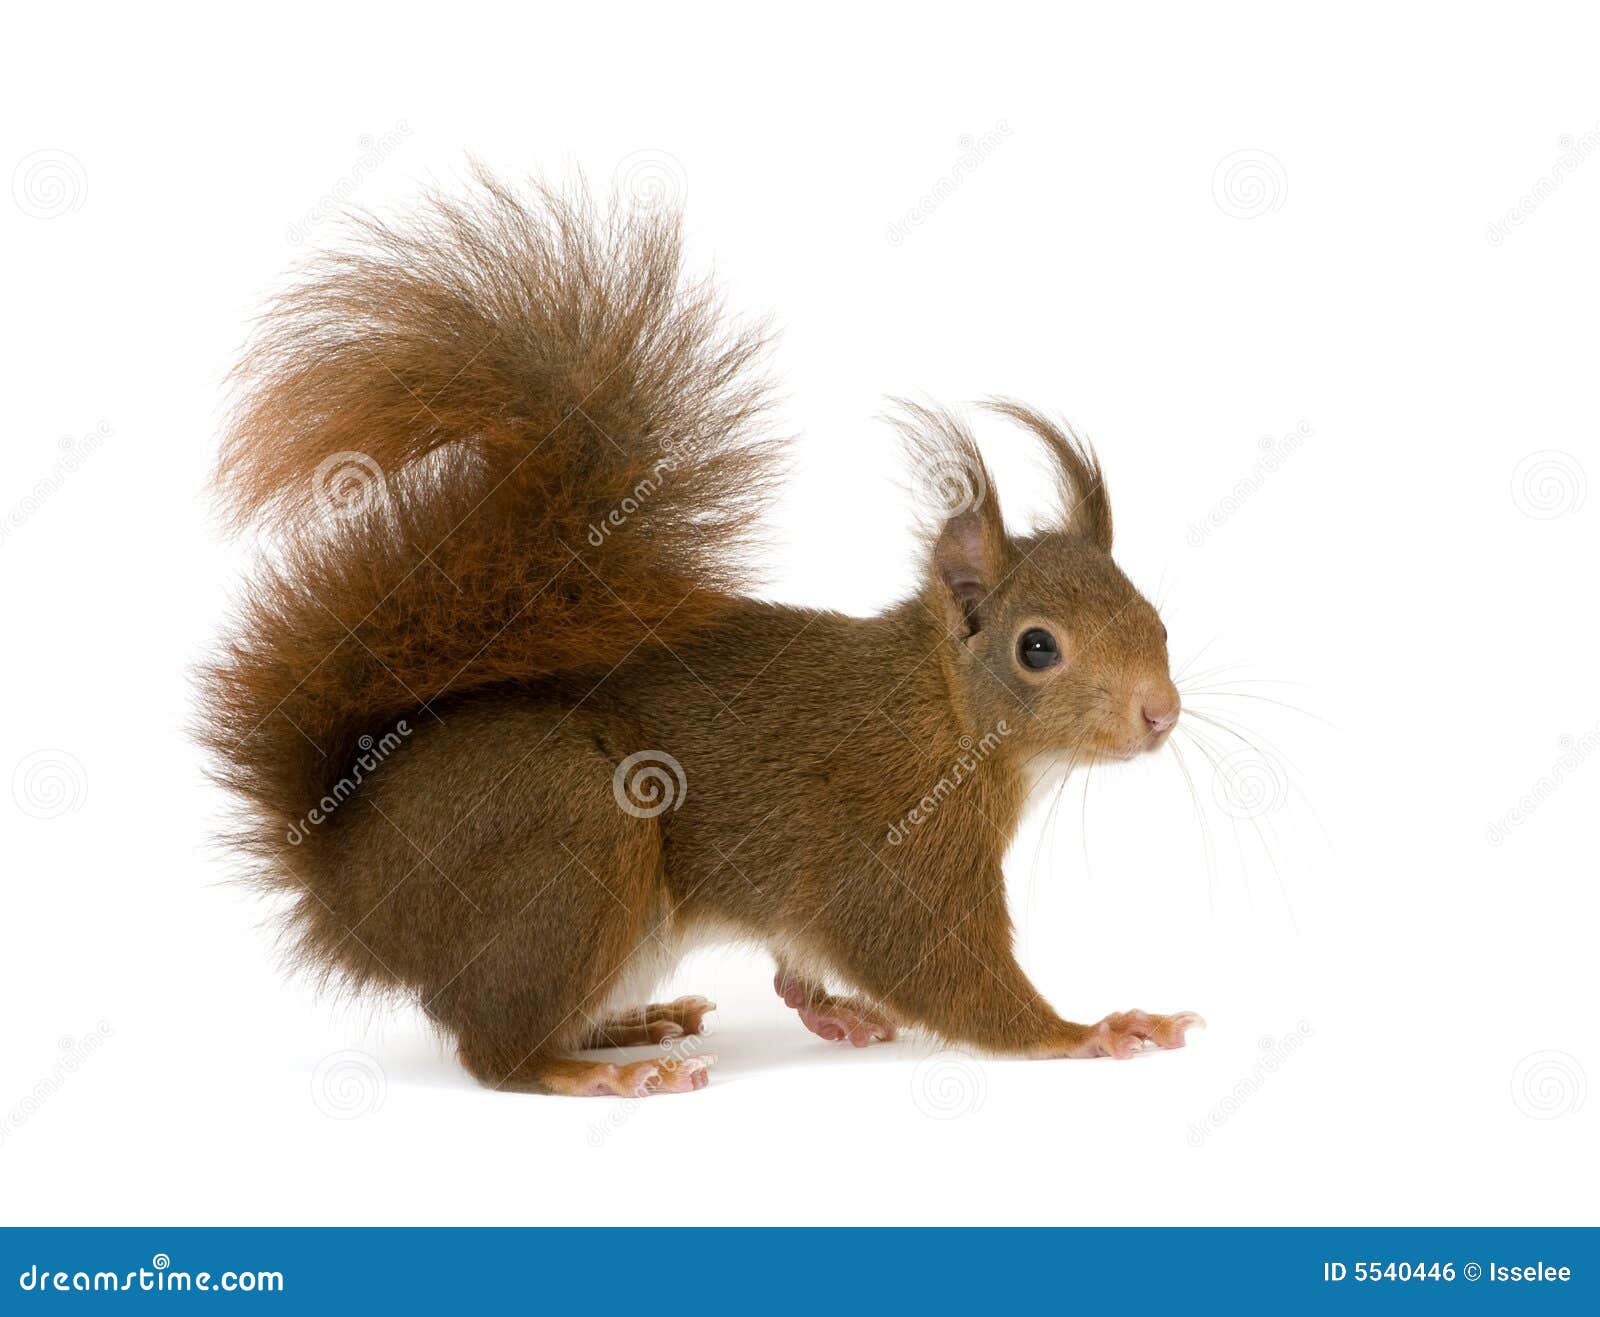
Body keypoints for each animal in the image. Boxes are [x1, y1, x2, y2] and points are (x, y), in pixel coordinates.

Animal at [199, 169, 1201, 1098]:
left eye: (1155, 619)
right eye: (1038, 647)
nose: (1162, 713)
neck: (948, 711)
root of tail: (348, 877)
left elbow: (808, 958)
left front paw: (825, 1006)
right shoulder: (902, 839)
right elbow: (936, 966)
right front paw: (1090, 1030)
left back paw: (635, 1022)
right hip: (573, 833)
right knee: (496, 1050)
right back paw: (600, 1070)